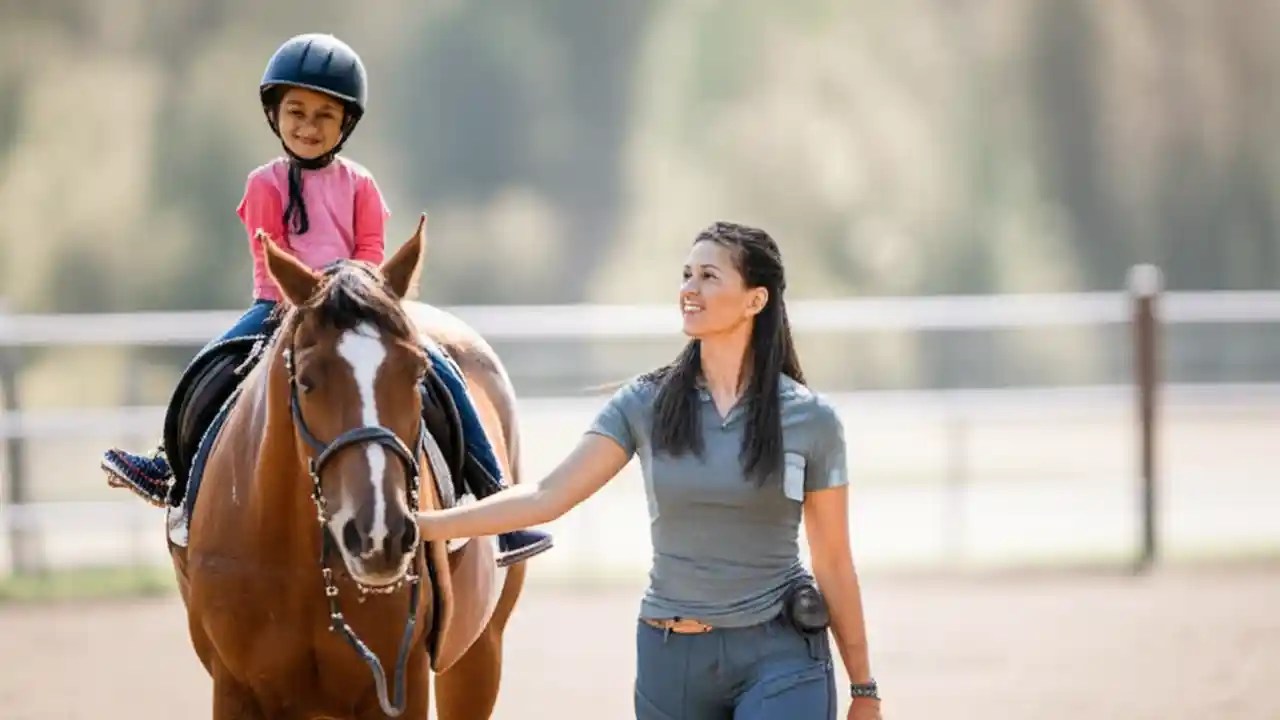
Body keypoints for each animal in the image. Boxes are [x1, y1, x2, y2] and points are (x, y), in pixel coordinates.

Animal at [167, 215, 525, 719]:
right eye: (307, 381)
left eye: (417, 374)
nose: (379, 536)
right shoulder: (235, 689)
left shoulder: (402, 685)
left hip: (480, 651)